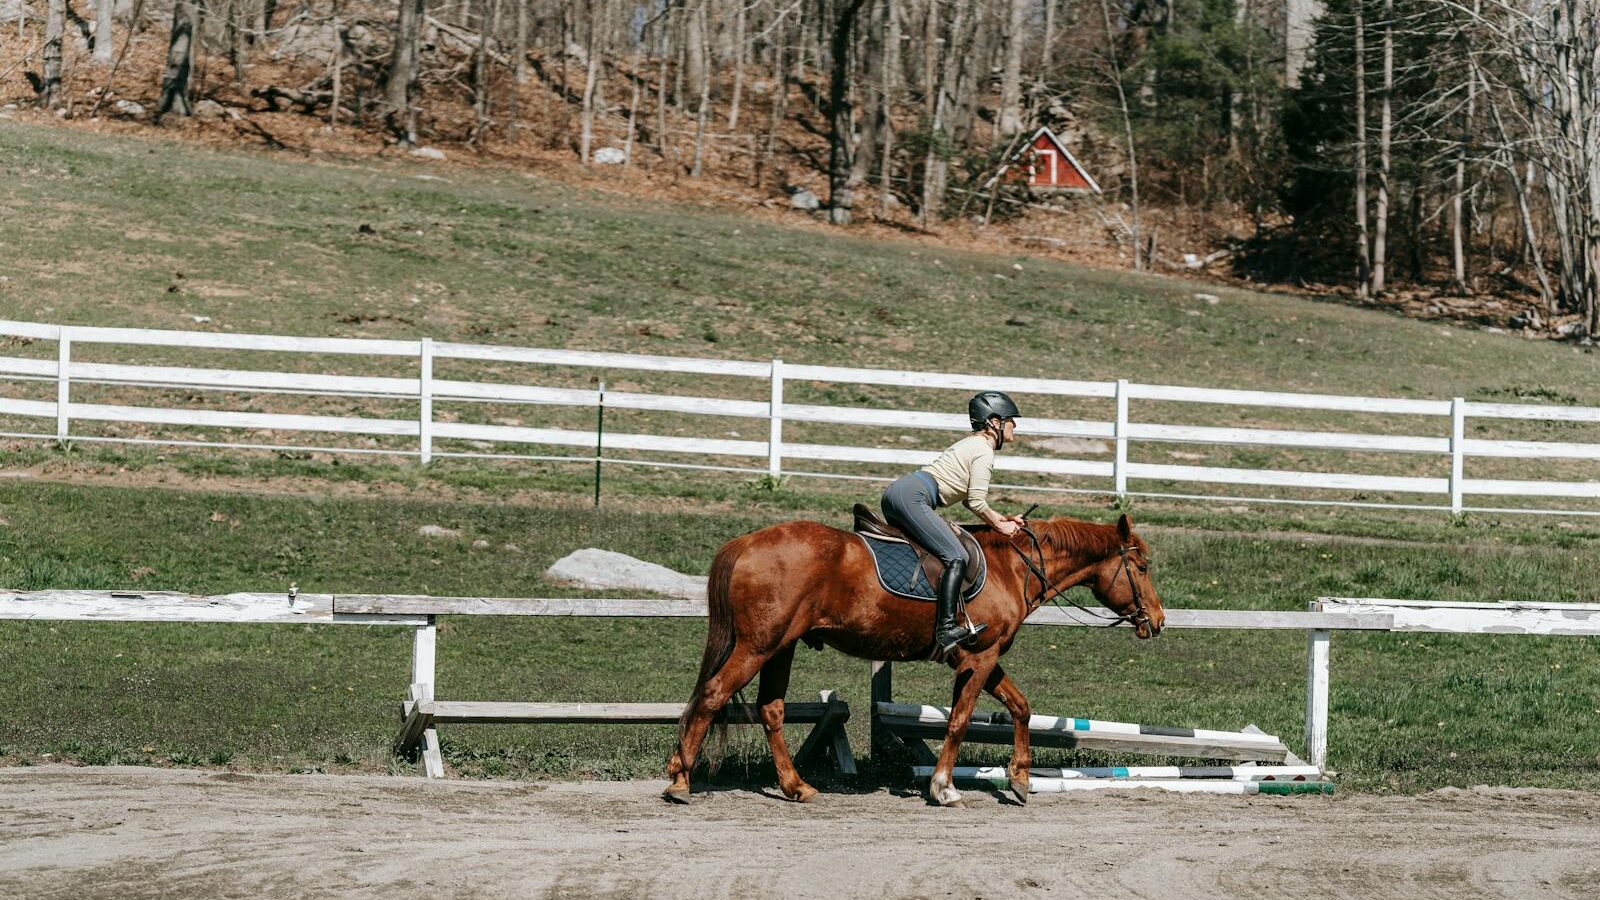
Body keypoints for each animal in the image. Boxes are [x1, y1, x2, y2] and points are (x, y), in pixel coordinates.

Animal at [664, 512, 1165, 807]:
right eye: (1141, 567)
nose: (1157, 621)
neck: (1013, 567)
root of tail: (746, 543)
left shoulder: (982, 658)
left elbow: (1020, 707)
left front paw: (1020, 779)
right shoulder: (978, 658)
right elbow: (959, 721)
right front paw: (944, 788)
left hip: (780, 647)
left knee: (770, 709)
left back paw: (795, 786)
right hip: (758, 646)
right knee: (712, 695)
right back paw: (681, 781)